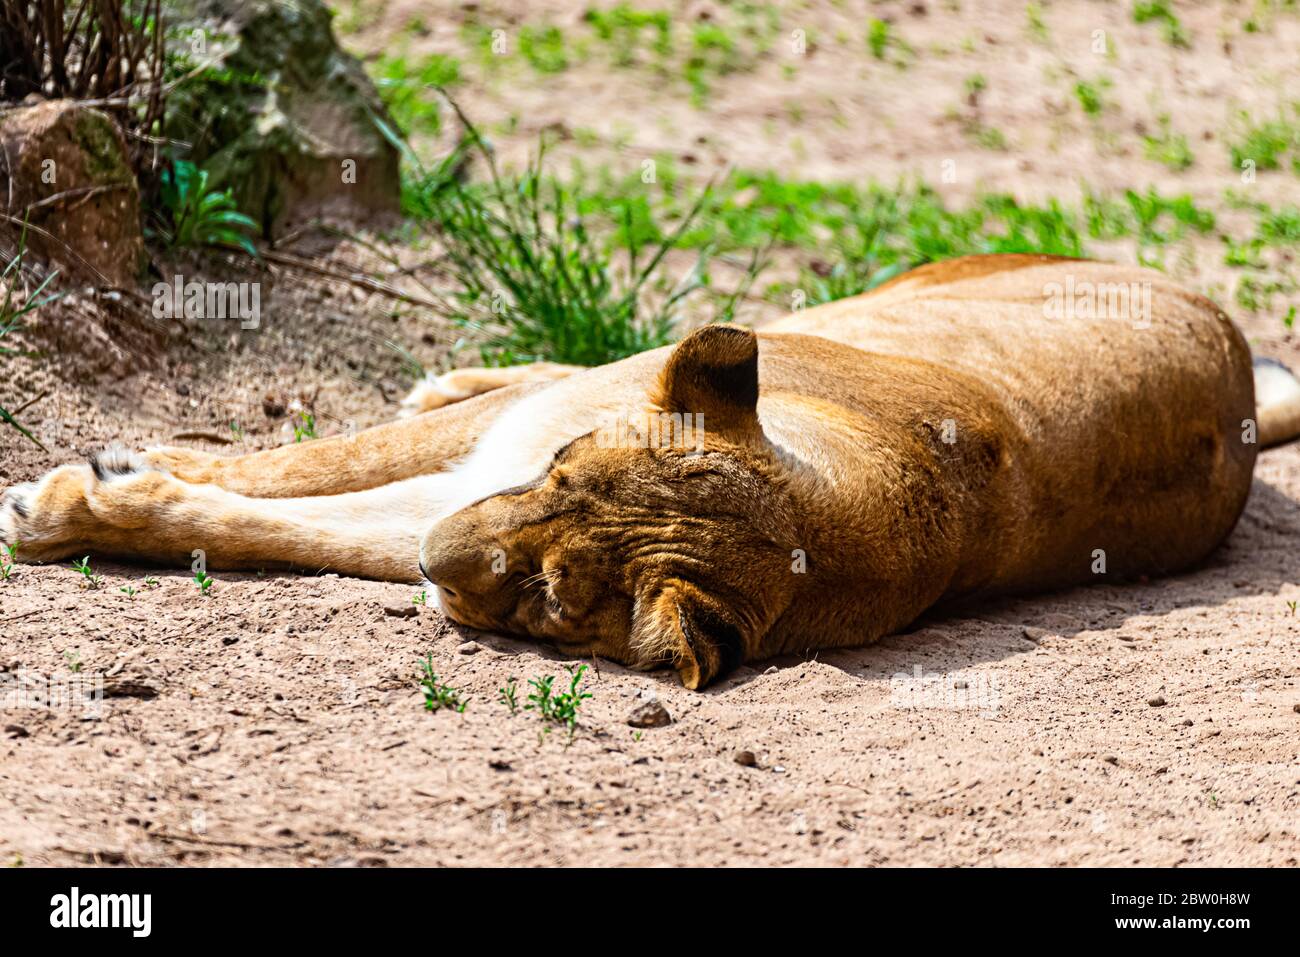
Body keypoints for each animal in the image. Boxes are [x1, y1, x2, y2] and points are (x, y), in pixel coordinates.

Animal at [3, 254, 1298, 688]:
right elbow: (315, 465)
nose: (438, 564)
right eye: (563, 468)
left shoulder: (467, 509)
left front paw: (72, 499)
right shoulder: (511, 449)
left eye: (550, 598)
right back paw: (449, 378)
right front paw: (111, 471)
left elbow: (289, 519)